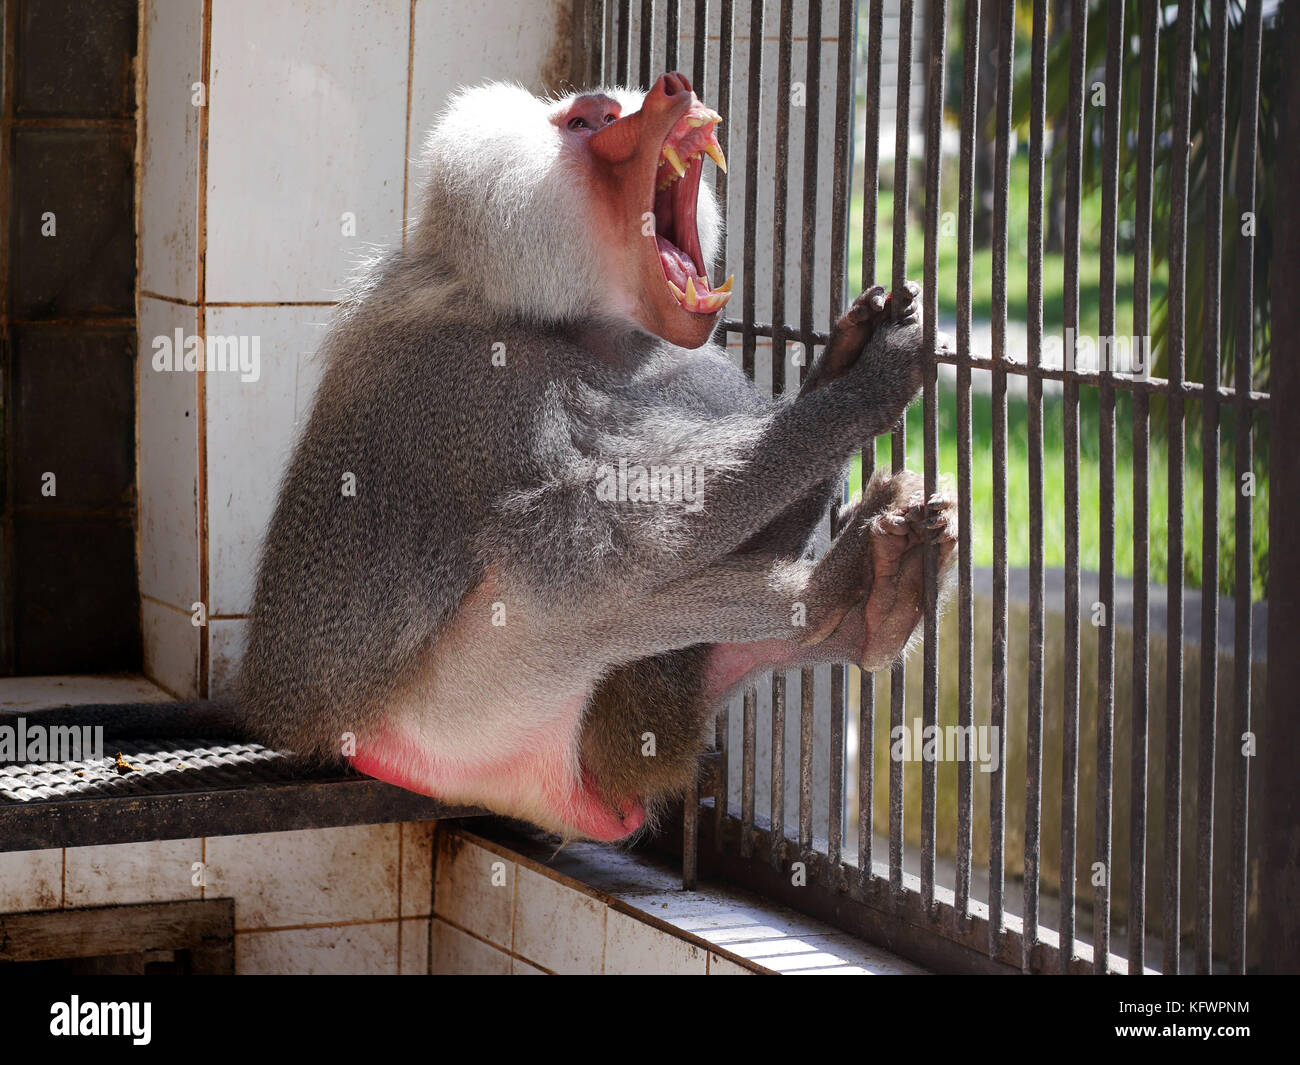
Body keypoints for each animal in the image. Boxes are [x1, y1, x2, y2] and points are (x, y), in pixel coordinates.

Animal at [6, 72, 957, 844]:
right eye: (591, 121)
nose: (675, 87)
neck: (582, 327)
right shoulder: (479, 385)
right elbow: (584, 552)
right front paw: (870, 380)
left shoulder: (689, 367)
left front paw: (843, 356)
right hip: (458, 721)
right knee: (576, 597)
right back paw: (831, 597)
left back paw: (877, 600)